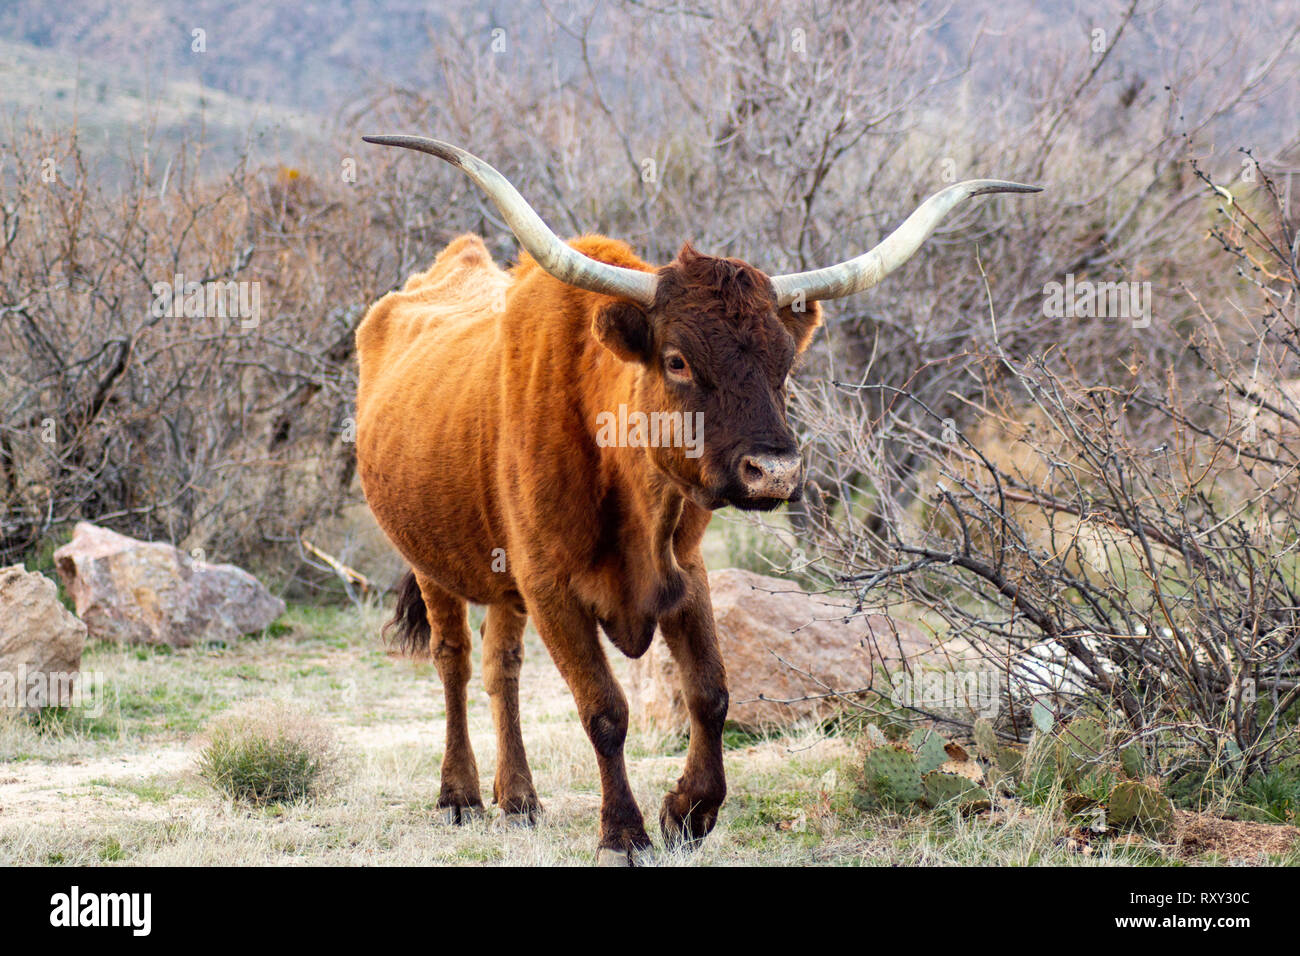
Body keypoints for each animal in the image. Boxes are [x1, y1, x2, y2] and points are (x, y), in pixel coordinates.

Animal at [355, 134, 1038, 864]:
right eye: (678, 360)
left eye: (784, 364)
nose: (774, 471)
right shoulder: (551, 587)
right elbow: (605, 709)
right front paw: (623, 831)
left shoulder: (684, 573)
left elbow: (710, 694)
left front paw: (688, 810)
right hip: (433, 565)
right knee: (454, 662)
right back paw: (459, 795)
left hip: (502, 579)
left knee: (499, 666)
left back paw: (519, 800)